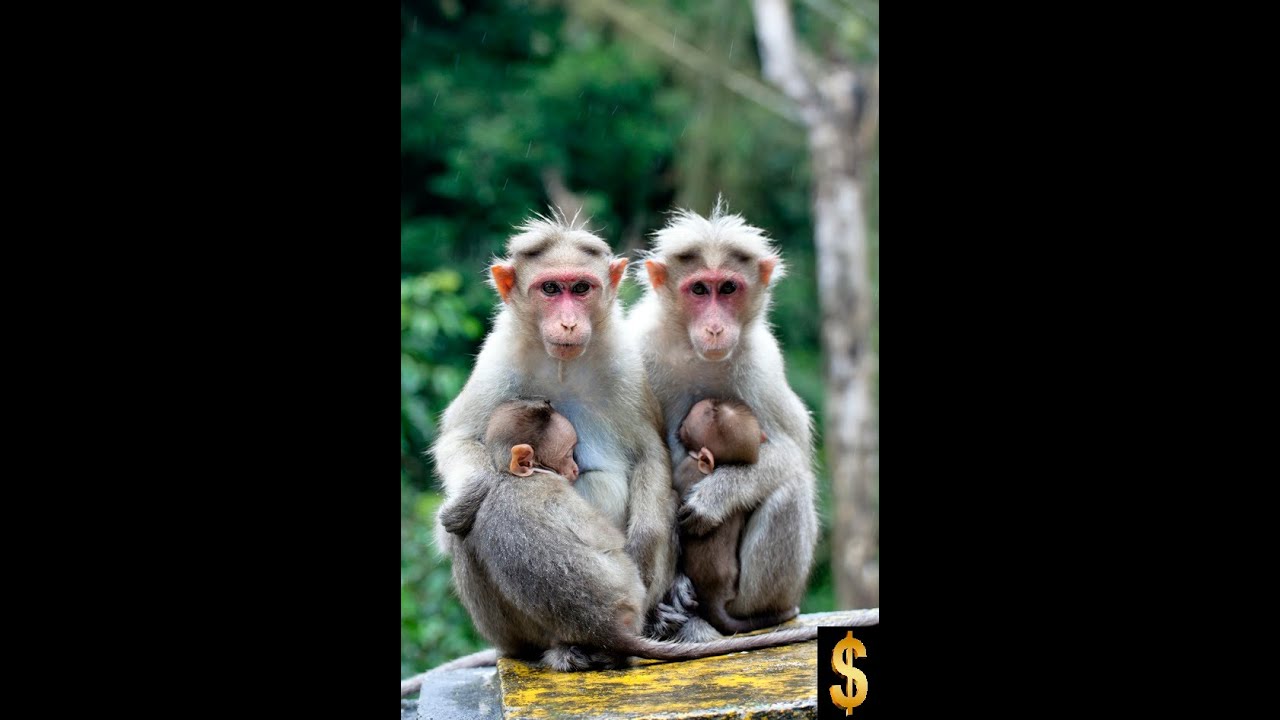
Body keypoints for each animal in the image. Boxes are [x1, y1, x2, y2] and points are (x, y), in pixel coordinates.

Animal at [429, 211, 679, 645]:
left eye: (580, 288)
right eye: (549, 288)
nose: (567, 322)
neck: (561, 365)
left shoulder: (626, 365)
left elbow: (650, 451)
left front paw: (646, 538)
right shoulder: (497, 360)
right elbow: (457, 441)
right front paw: (473, 492)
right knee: (463, 531)